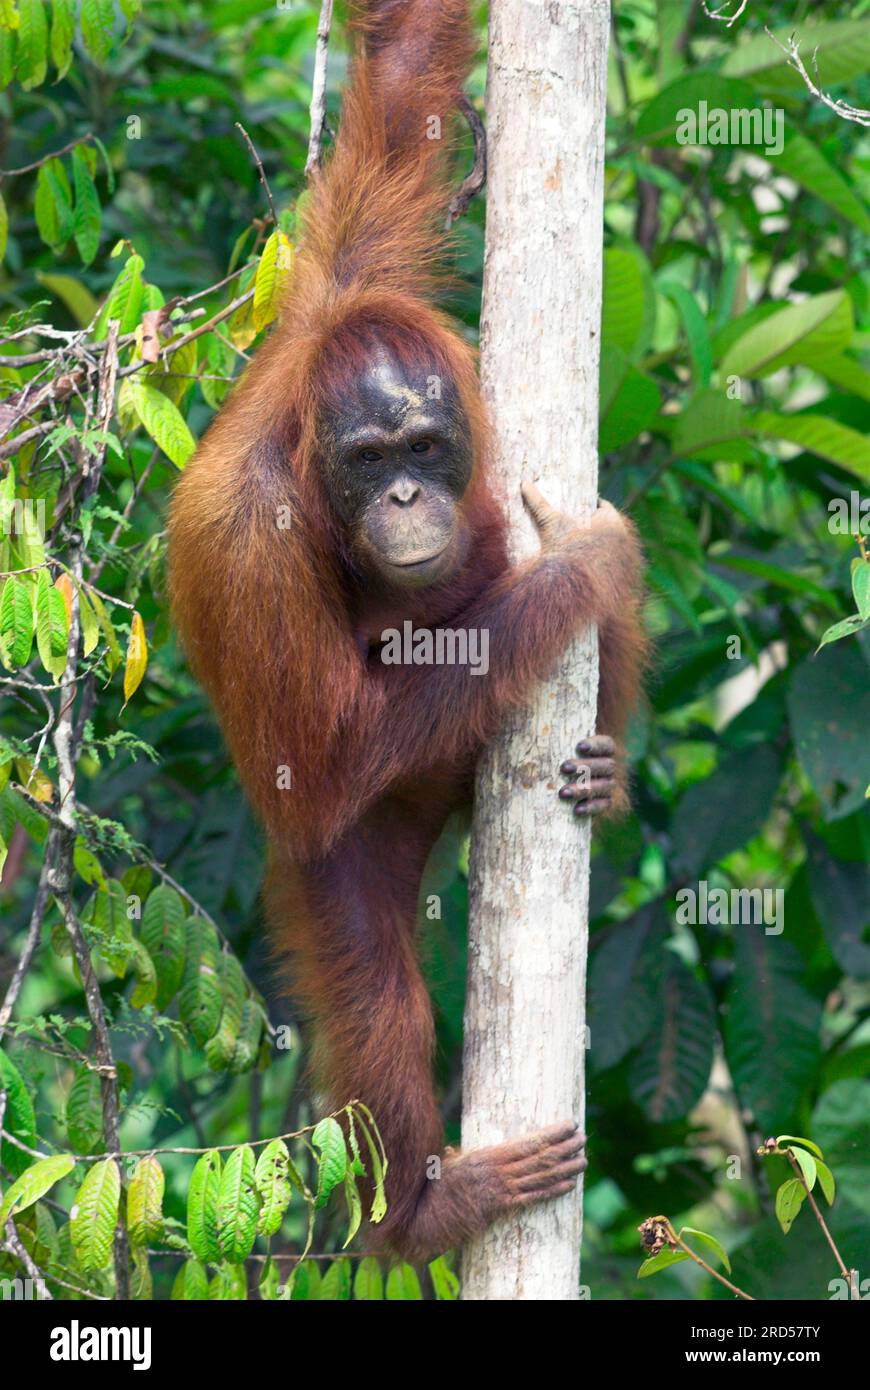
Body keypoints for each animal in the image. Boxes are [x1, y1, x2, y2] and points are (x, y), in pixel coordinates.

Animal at [168, 0, 645, 1262]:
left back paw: (604, 767)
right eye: (369, 456)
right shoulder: (249, 546)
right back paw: (425, 1212)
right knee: (382, 996)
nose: (404, 499)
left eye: (425, 445)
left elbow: (399, 81)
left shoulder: (355, 268)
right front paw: (580, 565)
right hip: (339, 865)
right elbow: (323, 751)